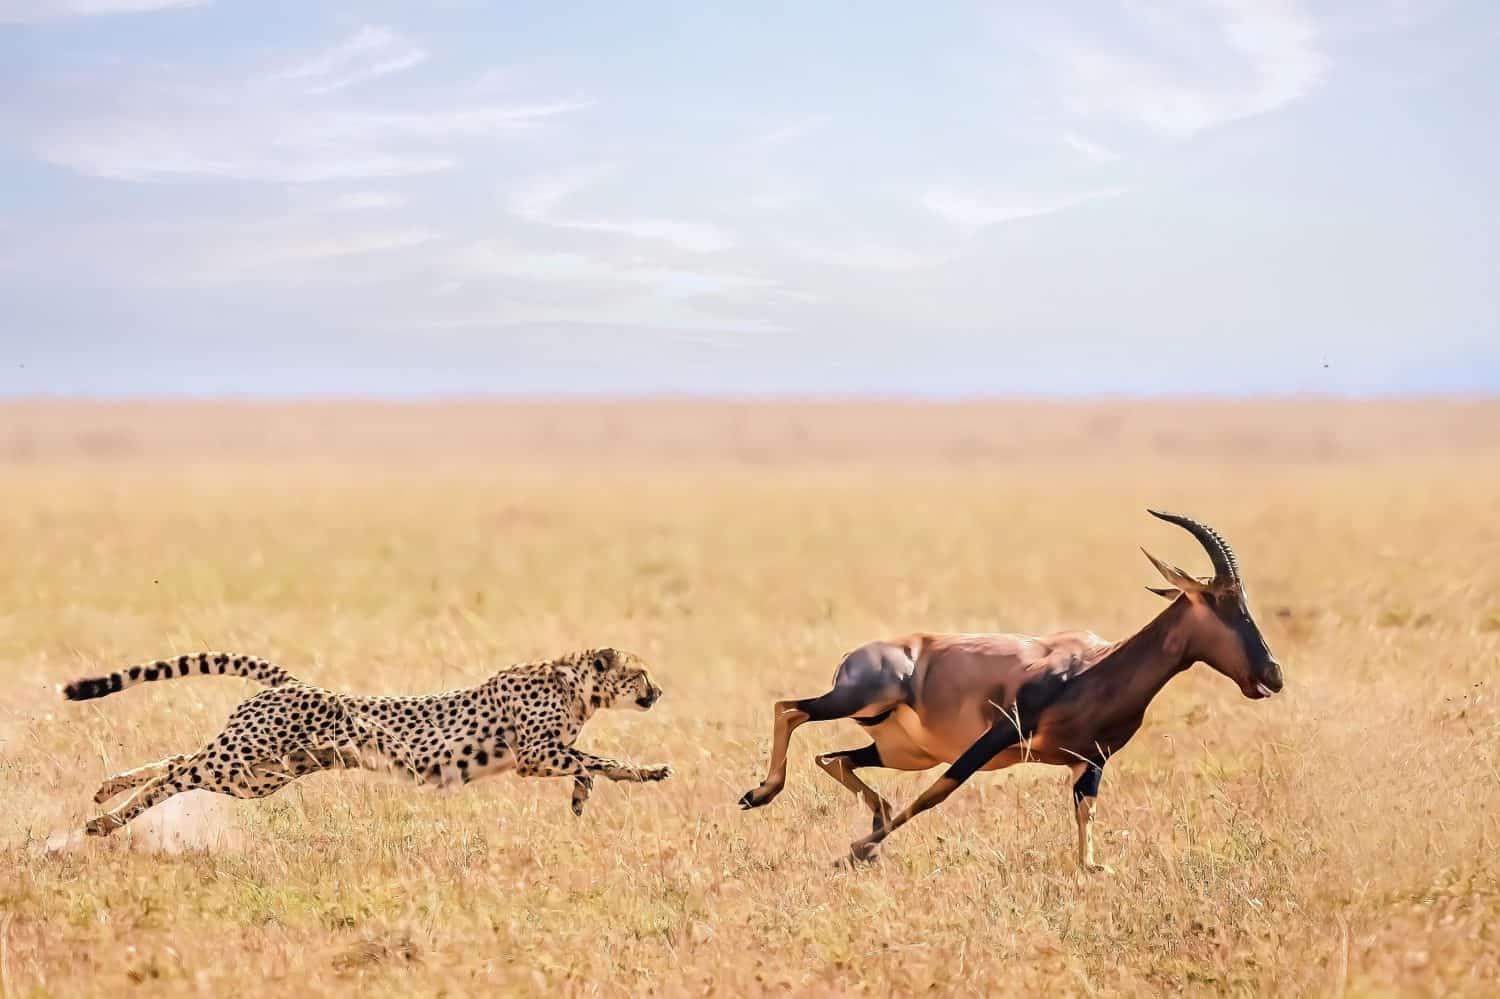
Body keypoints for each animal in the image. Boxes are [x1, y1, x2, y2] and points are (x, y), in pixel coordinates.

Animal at [61, 648, 673, 836]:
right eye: (640, 673)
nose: (659, 691)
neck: (578, 686)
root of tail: (292, 682)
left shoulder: (538, 758)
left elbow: (586, 765)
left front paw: (580, 799)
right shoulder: (533, 754)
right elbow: (598, 759)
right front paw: (647, 772)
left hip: (260, 774)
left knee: (180, 759)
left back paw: (104, 794)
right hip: (244, 762)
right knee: (176, 772)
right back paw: (103, 820)